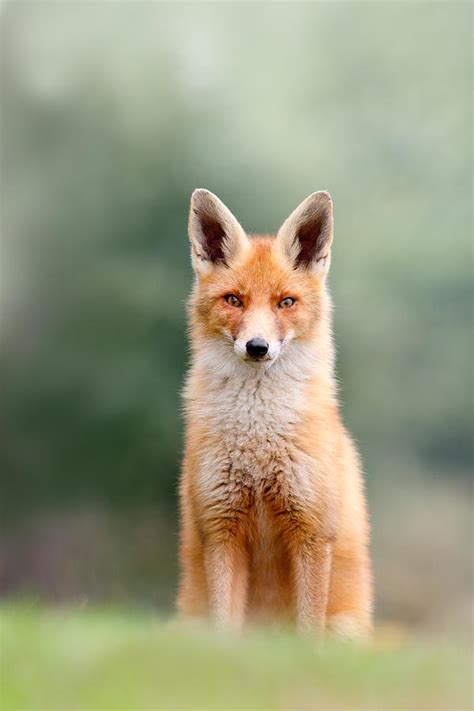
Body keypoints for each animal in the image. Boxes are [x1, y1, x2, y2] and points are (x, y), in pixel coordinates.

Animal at [177, 189, 373, 639]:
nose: (257, 347)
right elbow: (225, 627)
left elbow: (307, 630)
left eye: (286, 302)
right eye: (234, 300)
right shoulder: (220, 529)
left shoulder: (312, 532)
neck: (258, 444)